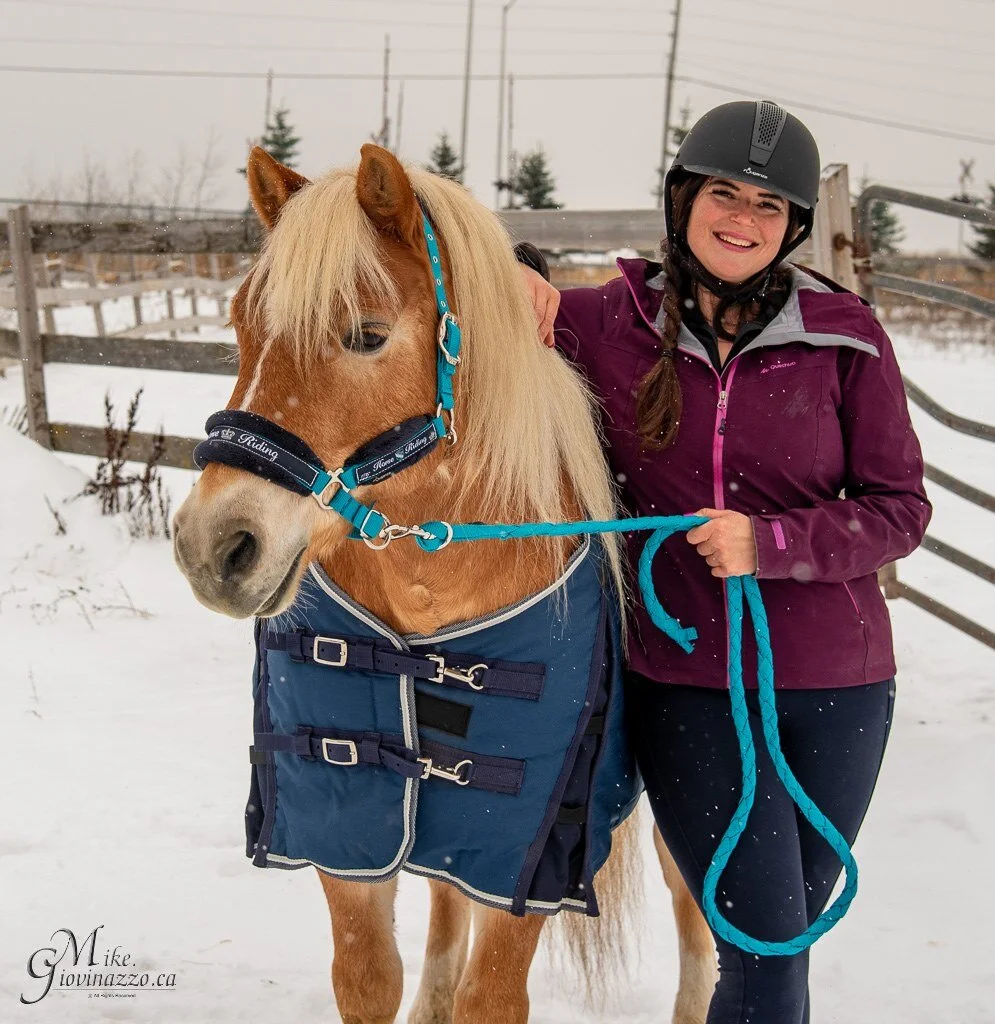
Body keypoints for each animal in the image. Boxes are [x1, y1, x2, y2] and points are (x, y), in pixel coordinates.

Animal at [172, 142, 716, 1024]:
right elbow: (370, 977)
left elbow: (488, 994)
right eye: (241, 324)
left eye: (365, 335)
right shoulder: (348, 830)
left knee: (699, 914)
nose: (213, 545)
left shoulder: (524, 853)